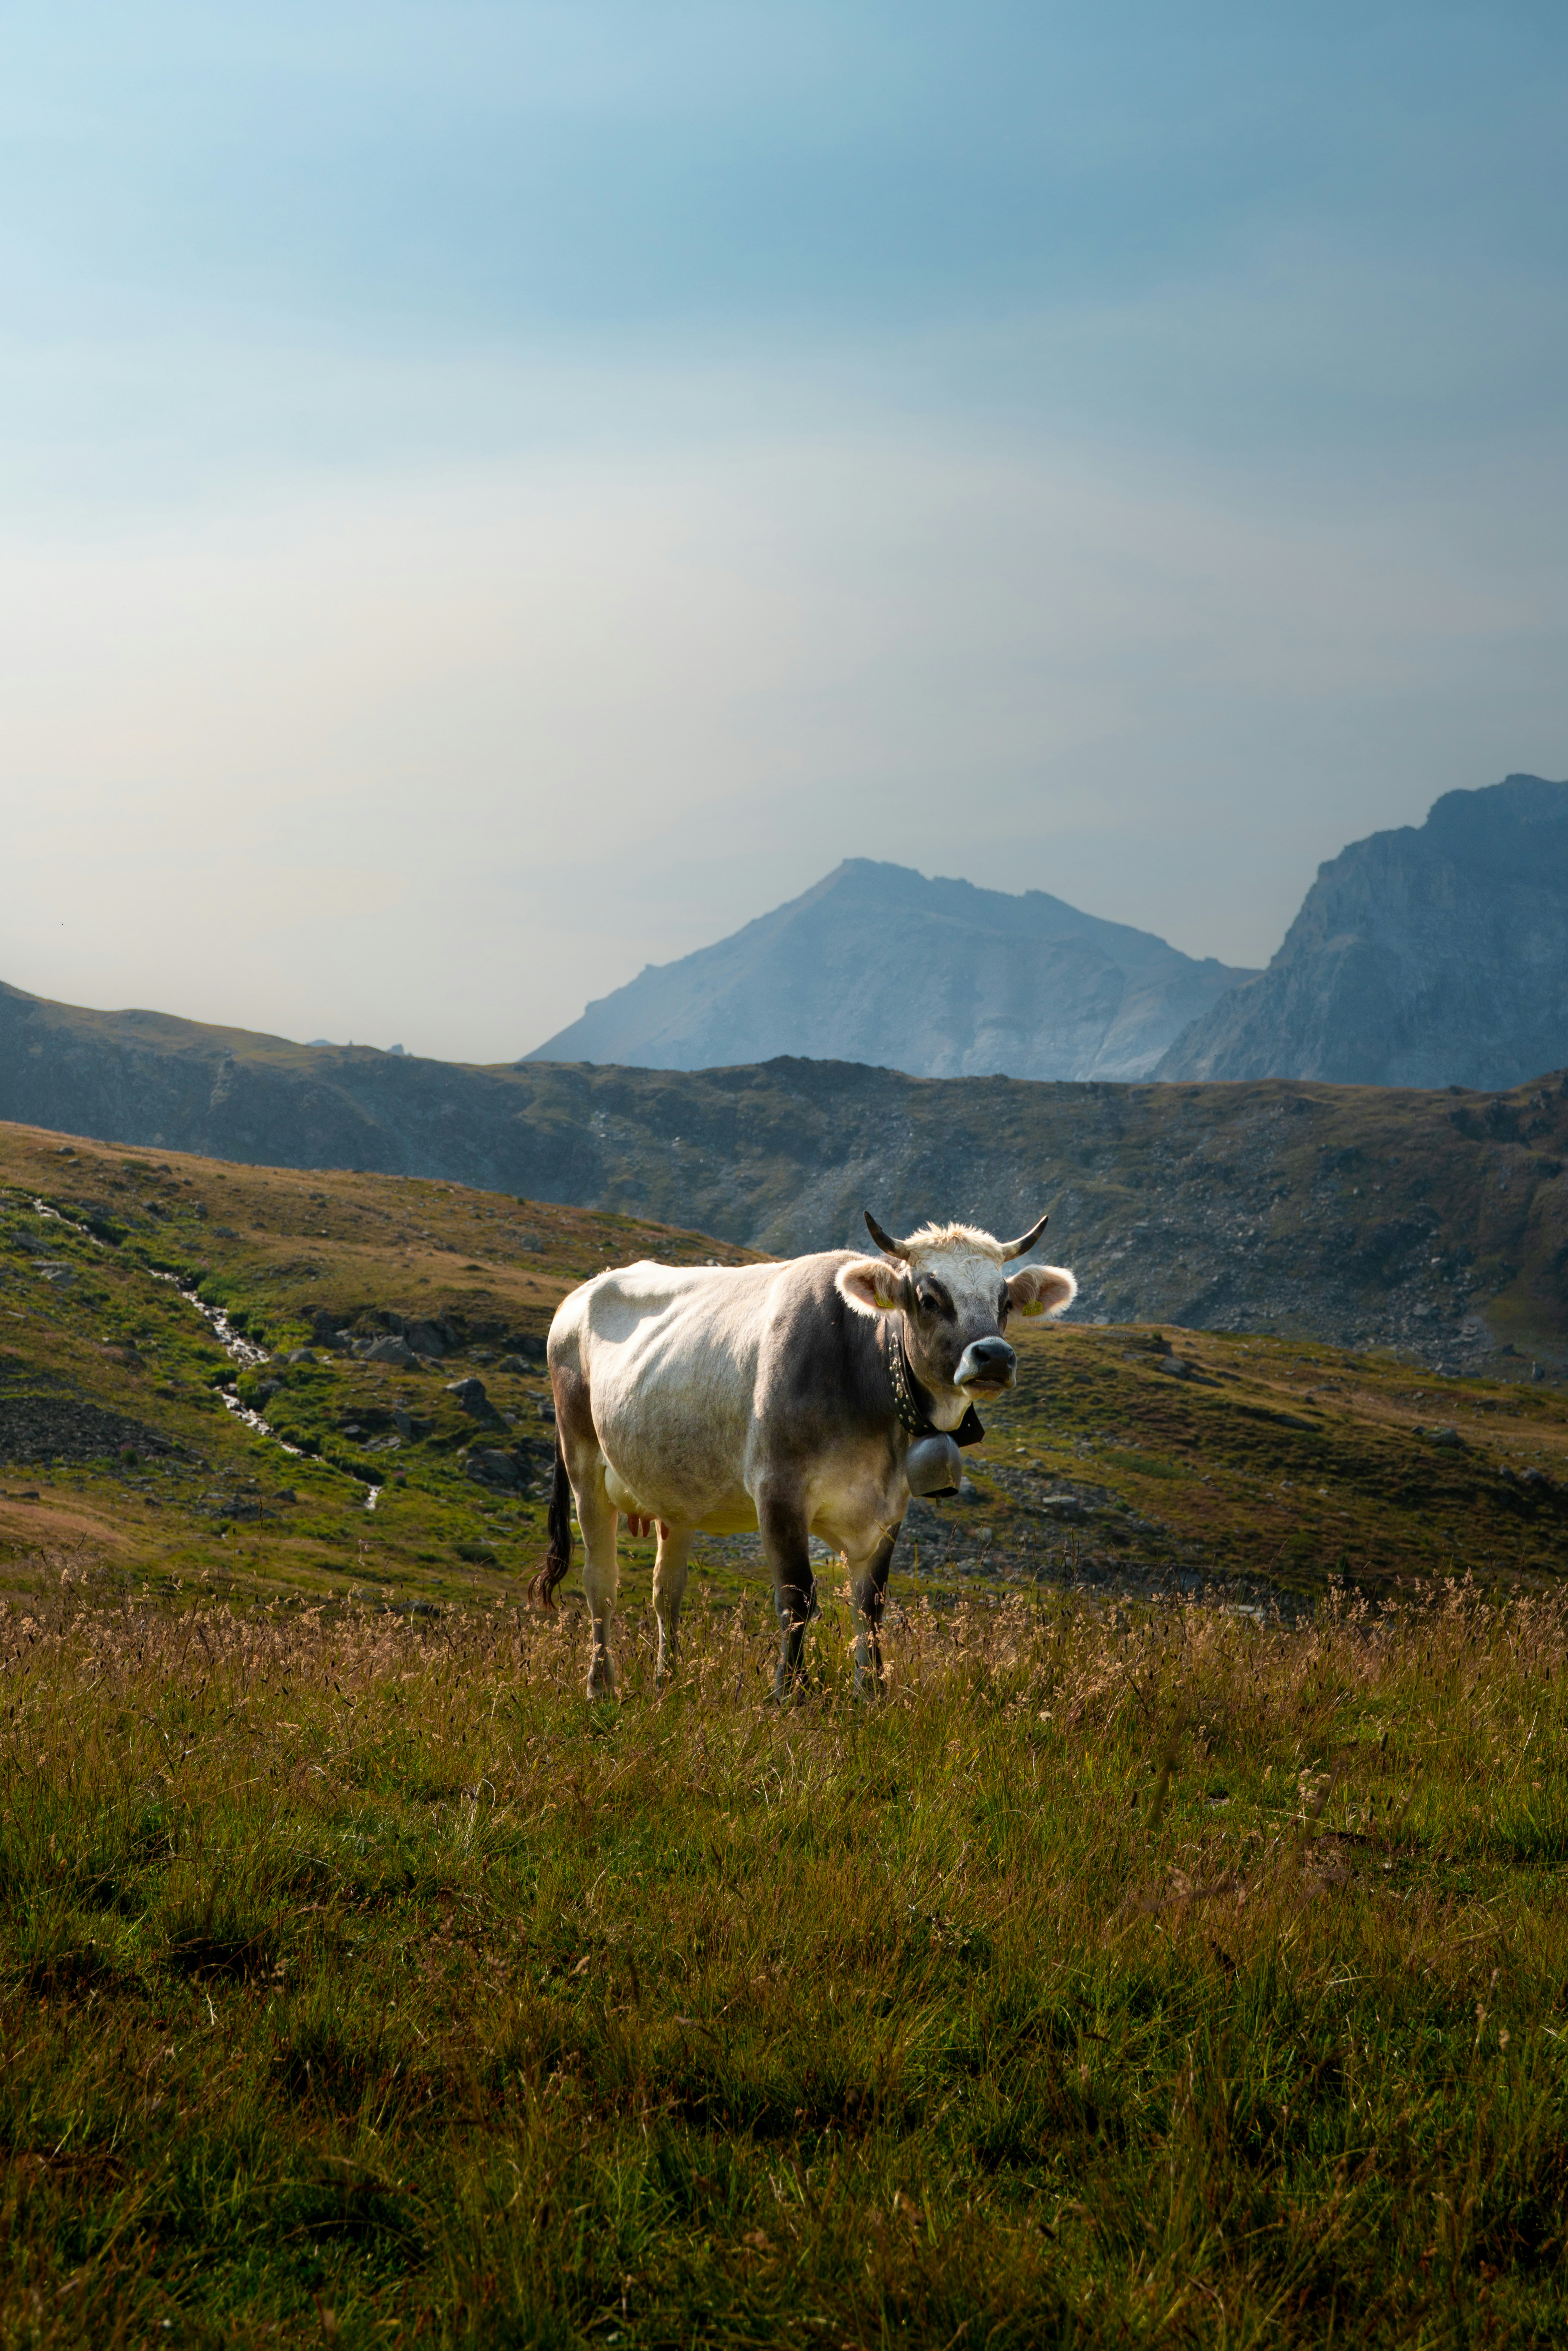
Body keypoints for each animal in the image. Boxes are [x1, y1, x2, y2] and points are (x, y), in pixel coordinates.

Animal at [530, 1209, 1076, 1697]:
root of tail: (579, 1295)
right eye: (927, 1297)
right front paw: (787, 1693)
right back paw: (600, 1686)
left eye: (1004, 1301)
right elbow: (795, 1597)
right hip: (582, 1463)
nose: (994, 1357)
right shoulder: (778, 1491)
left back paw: (669, 1682)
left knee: (666, 1591)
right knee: (600, 1583)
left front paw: (871, 1692)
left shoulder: (886, 1509)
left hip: (674, 1492)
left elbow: (869, 1605)